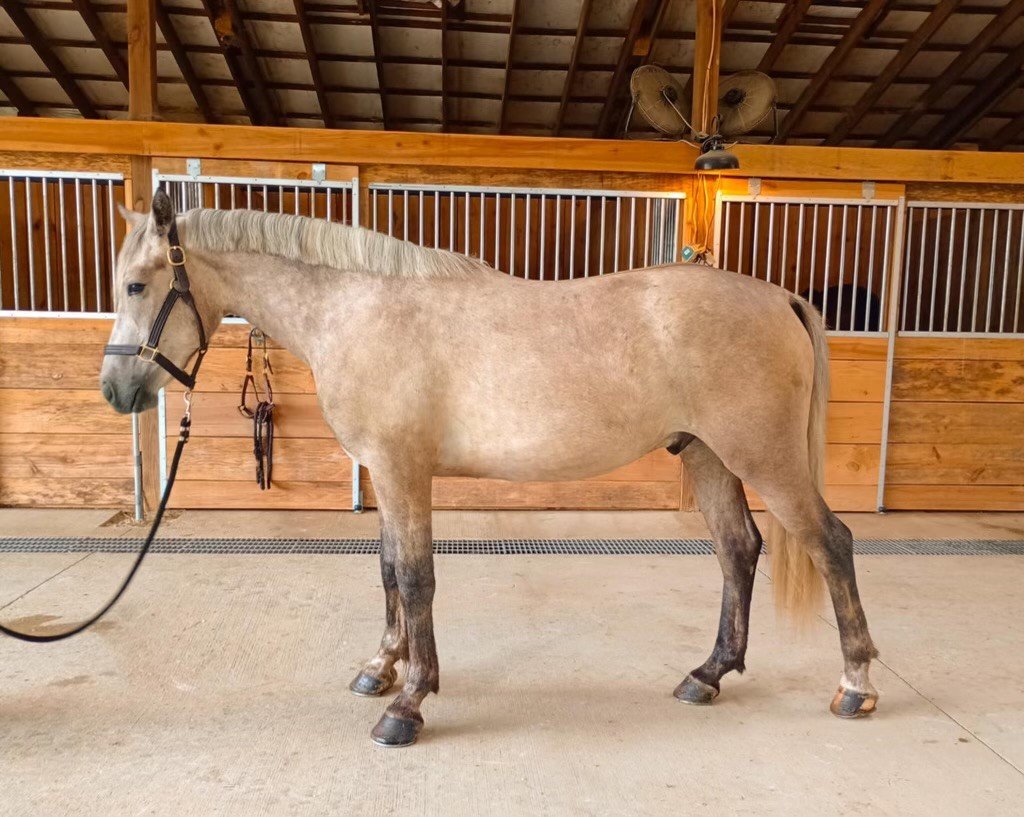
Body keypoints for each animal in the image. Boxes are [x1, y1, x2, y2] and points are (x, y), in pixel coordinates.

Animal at [101, 191, 878, 747]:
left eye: (137, 286)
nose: (115, 391)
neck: (358, 310)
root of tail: (778, 296)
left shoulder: (403, 470)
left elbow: (416, 578)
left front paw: (408, 703)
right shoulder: (385, 472)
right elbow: (389, 570)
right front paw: (380, 668)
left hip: (763, 457)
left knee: (831, 542)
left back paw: (855, 683)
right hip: (709, 455)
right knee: (738, 550)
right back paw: (707, 675)